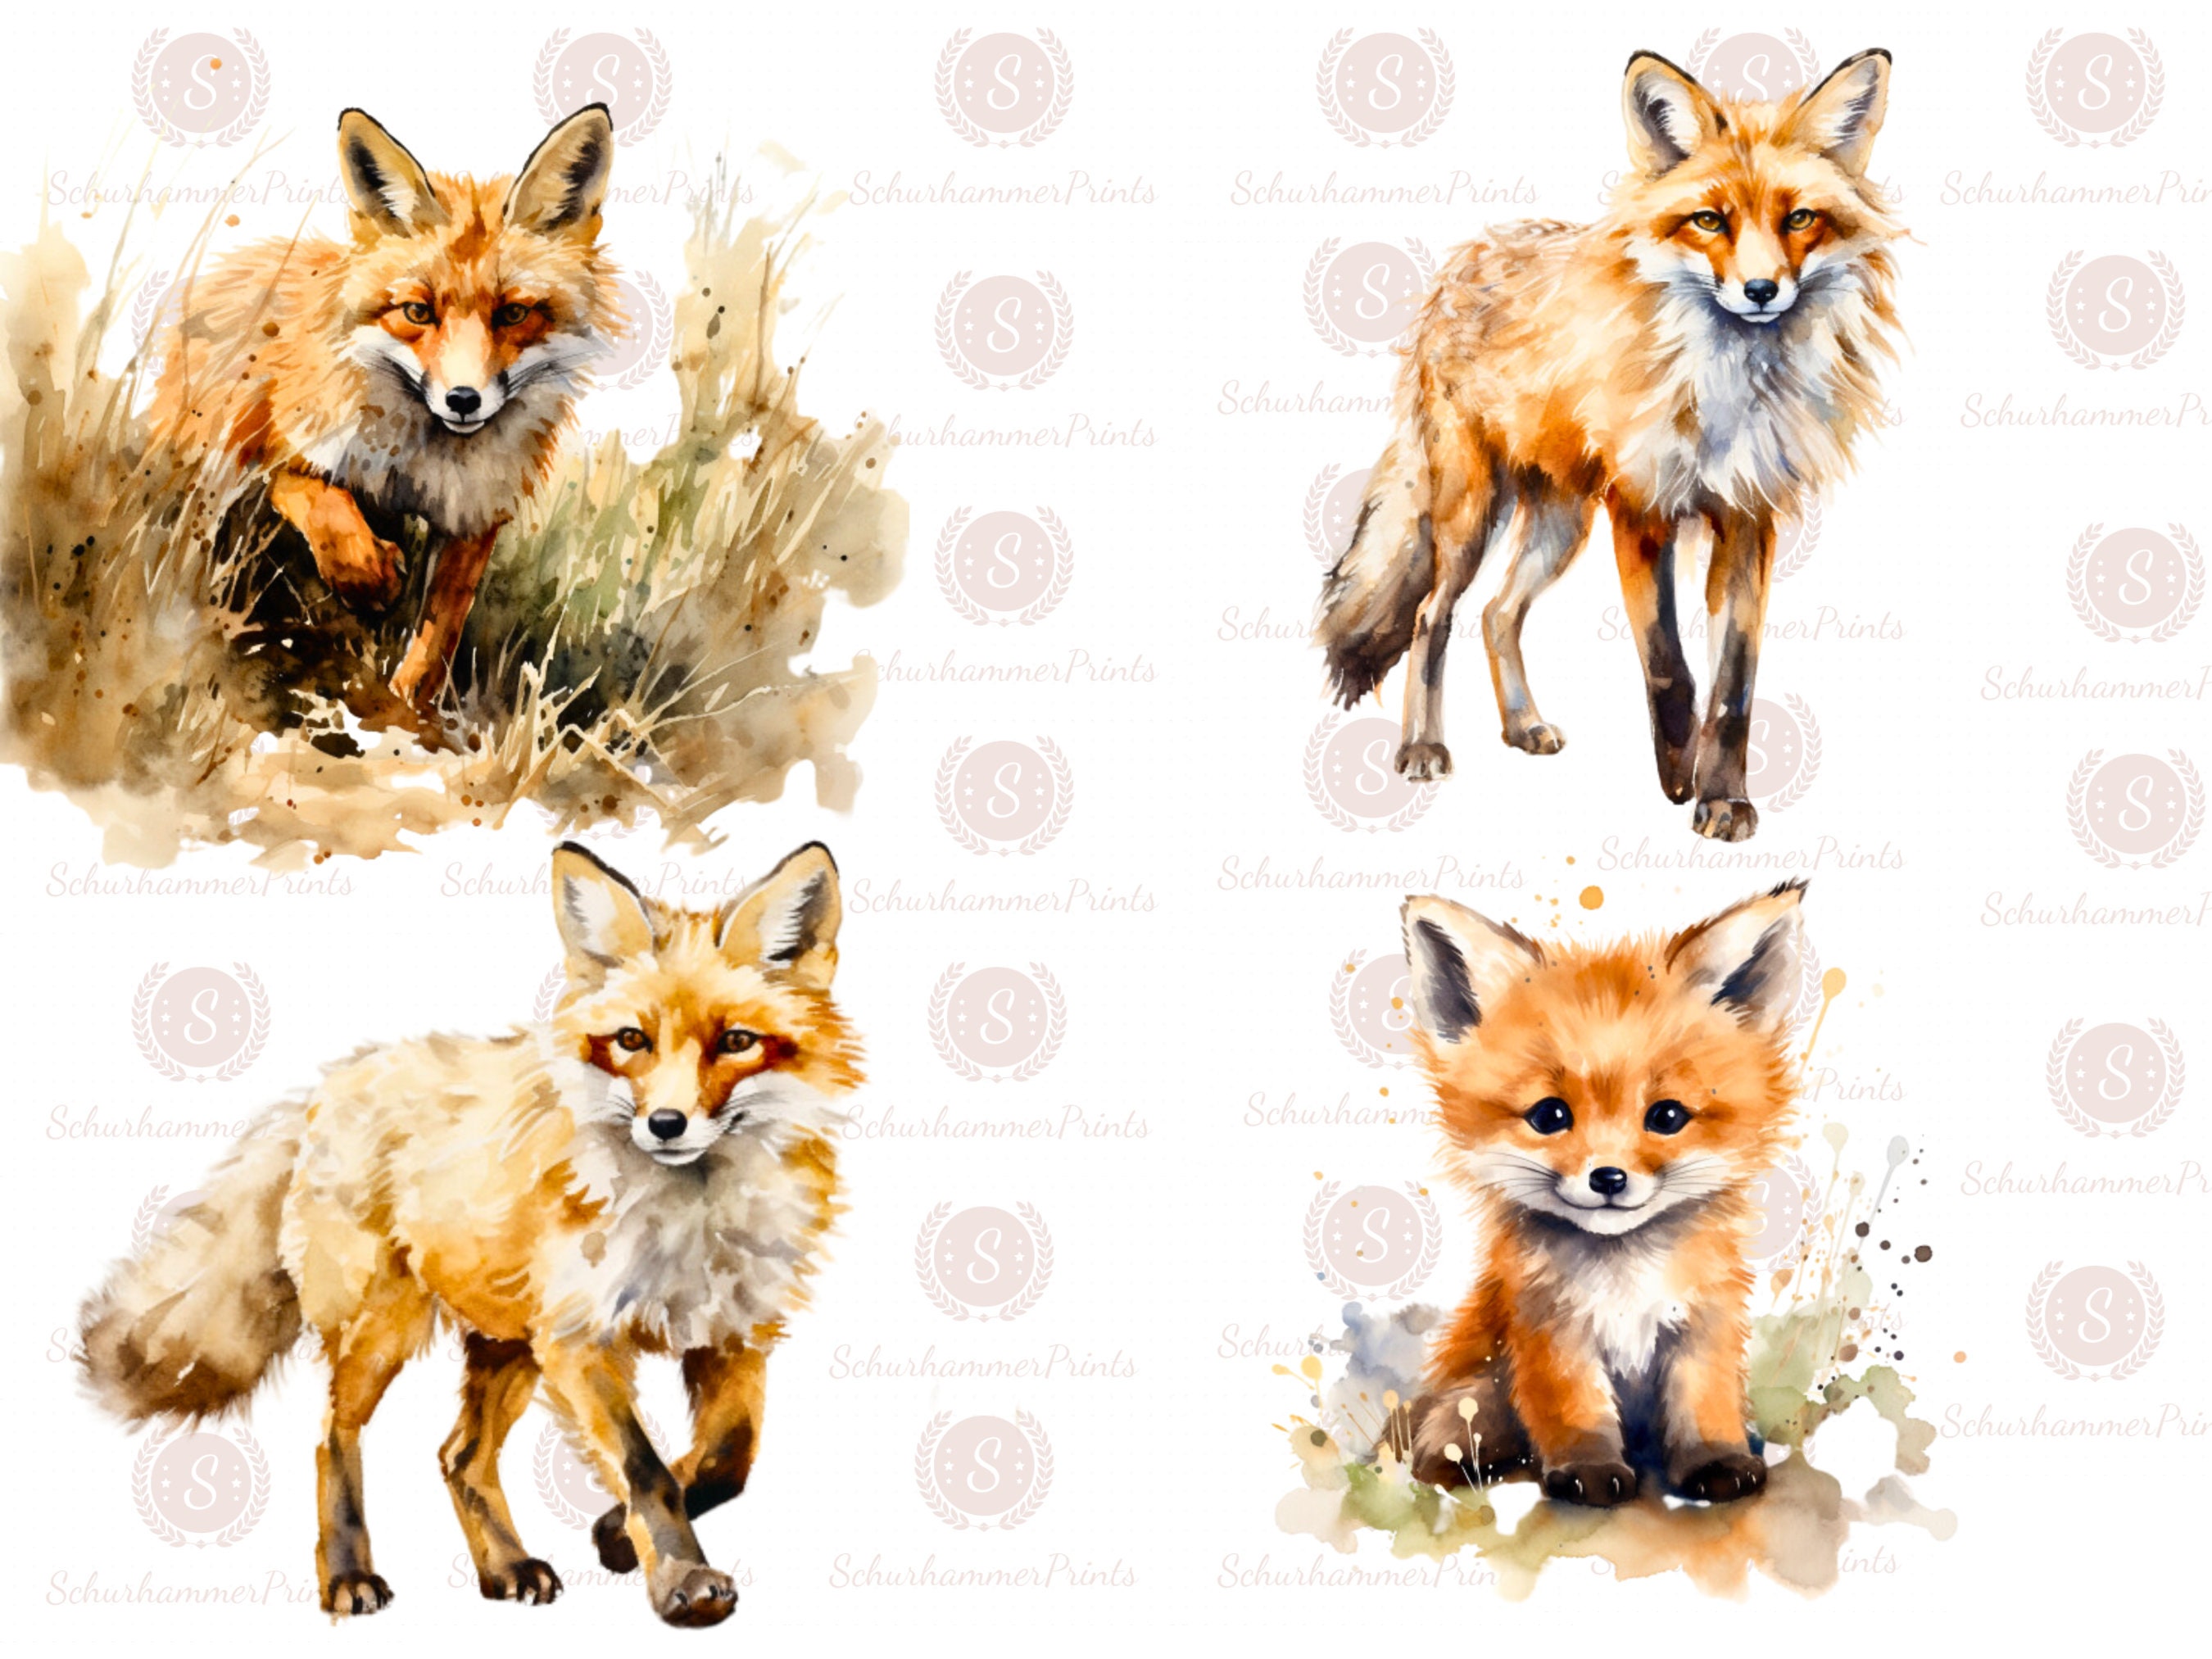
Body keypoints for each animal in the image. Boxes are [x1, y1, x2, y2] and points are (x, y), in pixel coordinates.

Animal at [78, 840, 858, 1626]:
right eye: (631, 1040)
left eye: (736, 1042)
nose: (665, 1124)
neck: (690, 1217)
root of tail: (326, 1085)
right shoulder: (581, 1337)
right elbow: (647, 1469)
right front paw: (679, 1579)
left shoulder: (731, 1331)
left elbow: (728, 1459)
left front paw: (614, 1535)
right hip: (384, 1327)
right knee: (333, 1438)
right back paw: (348, 1574)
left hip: (508, 1344)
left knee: (459, 1456)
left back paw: (504, 1567)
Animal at [151, 104, 623, 717]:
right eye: (417, 312)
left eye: (514, 313)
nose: (463, 400)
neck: (420, 458)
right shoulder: (282, 451)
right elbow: (327, 507)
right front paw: (370, 578)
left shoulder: (472, 513)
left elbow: (438, 636)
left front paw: (406, 707)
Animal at [1315, 49, 1901, 842]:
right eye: (1709, 220)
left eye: (1800, 218)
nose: (1760, 290)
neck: (1727, 387)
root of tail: (1462, 260)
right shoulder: (1640, 508)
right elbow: (1669, 664)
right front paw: (1677, 770)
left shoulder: (1748, 519)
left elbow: (1734, 685)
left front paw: (1724, 798)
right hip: (1471, 514)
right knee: (1431, 615)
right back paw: (1423, 746)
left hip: (1561, 526)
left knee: (1498, 614)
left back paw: (1522, 726)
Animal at [1386, 880, 1805, 1507]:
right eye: (1549, 1115)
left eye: (1667, 1116)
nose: (1609, 1178)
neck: (1623, 1278)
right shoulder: (1549, 1328)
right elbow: (1574, 1408)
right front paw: (1588, 1468)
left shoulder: (1703, 1320)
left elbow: (1704, 1400)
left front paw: (1716, 1459)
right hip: (1479, 1377)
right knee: (1460, 1417)